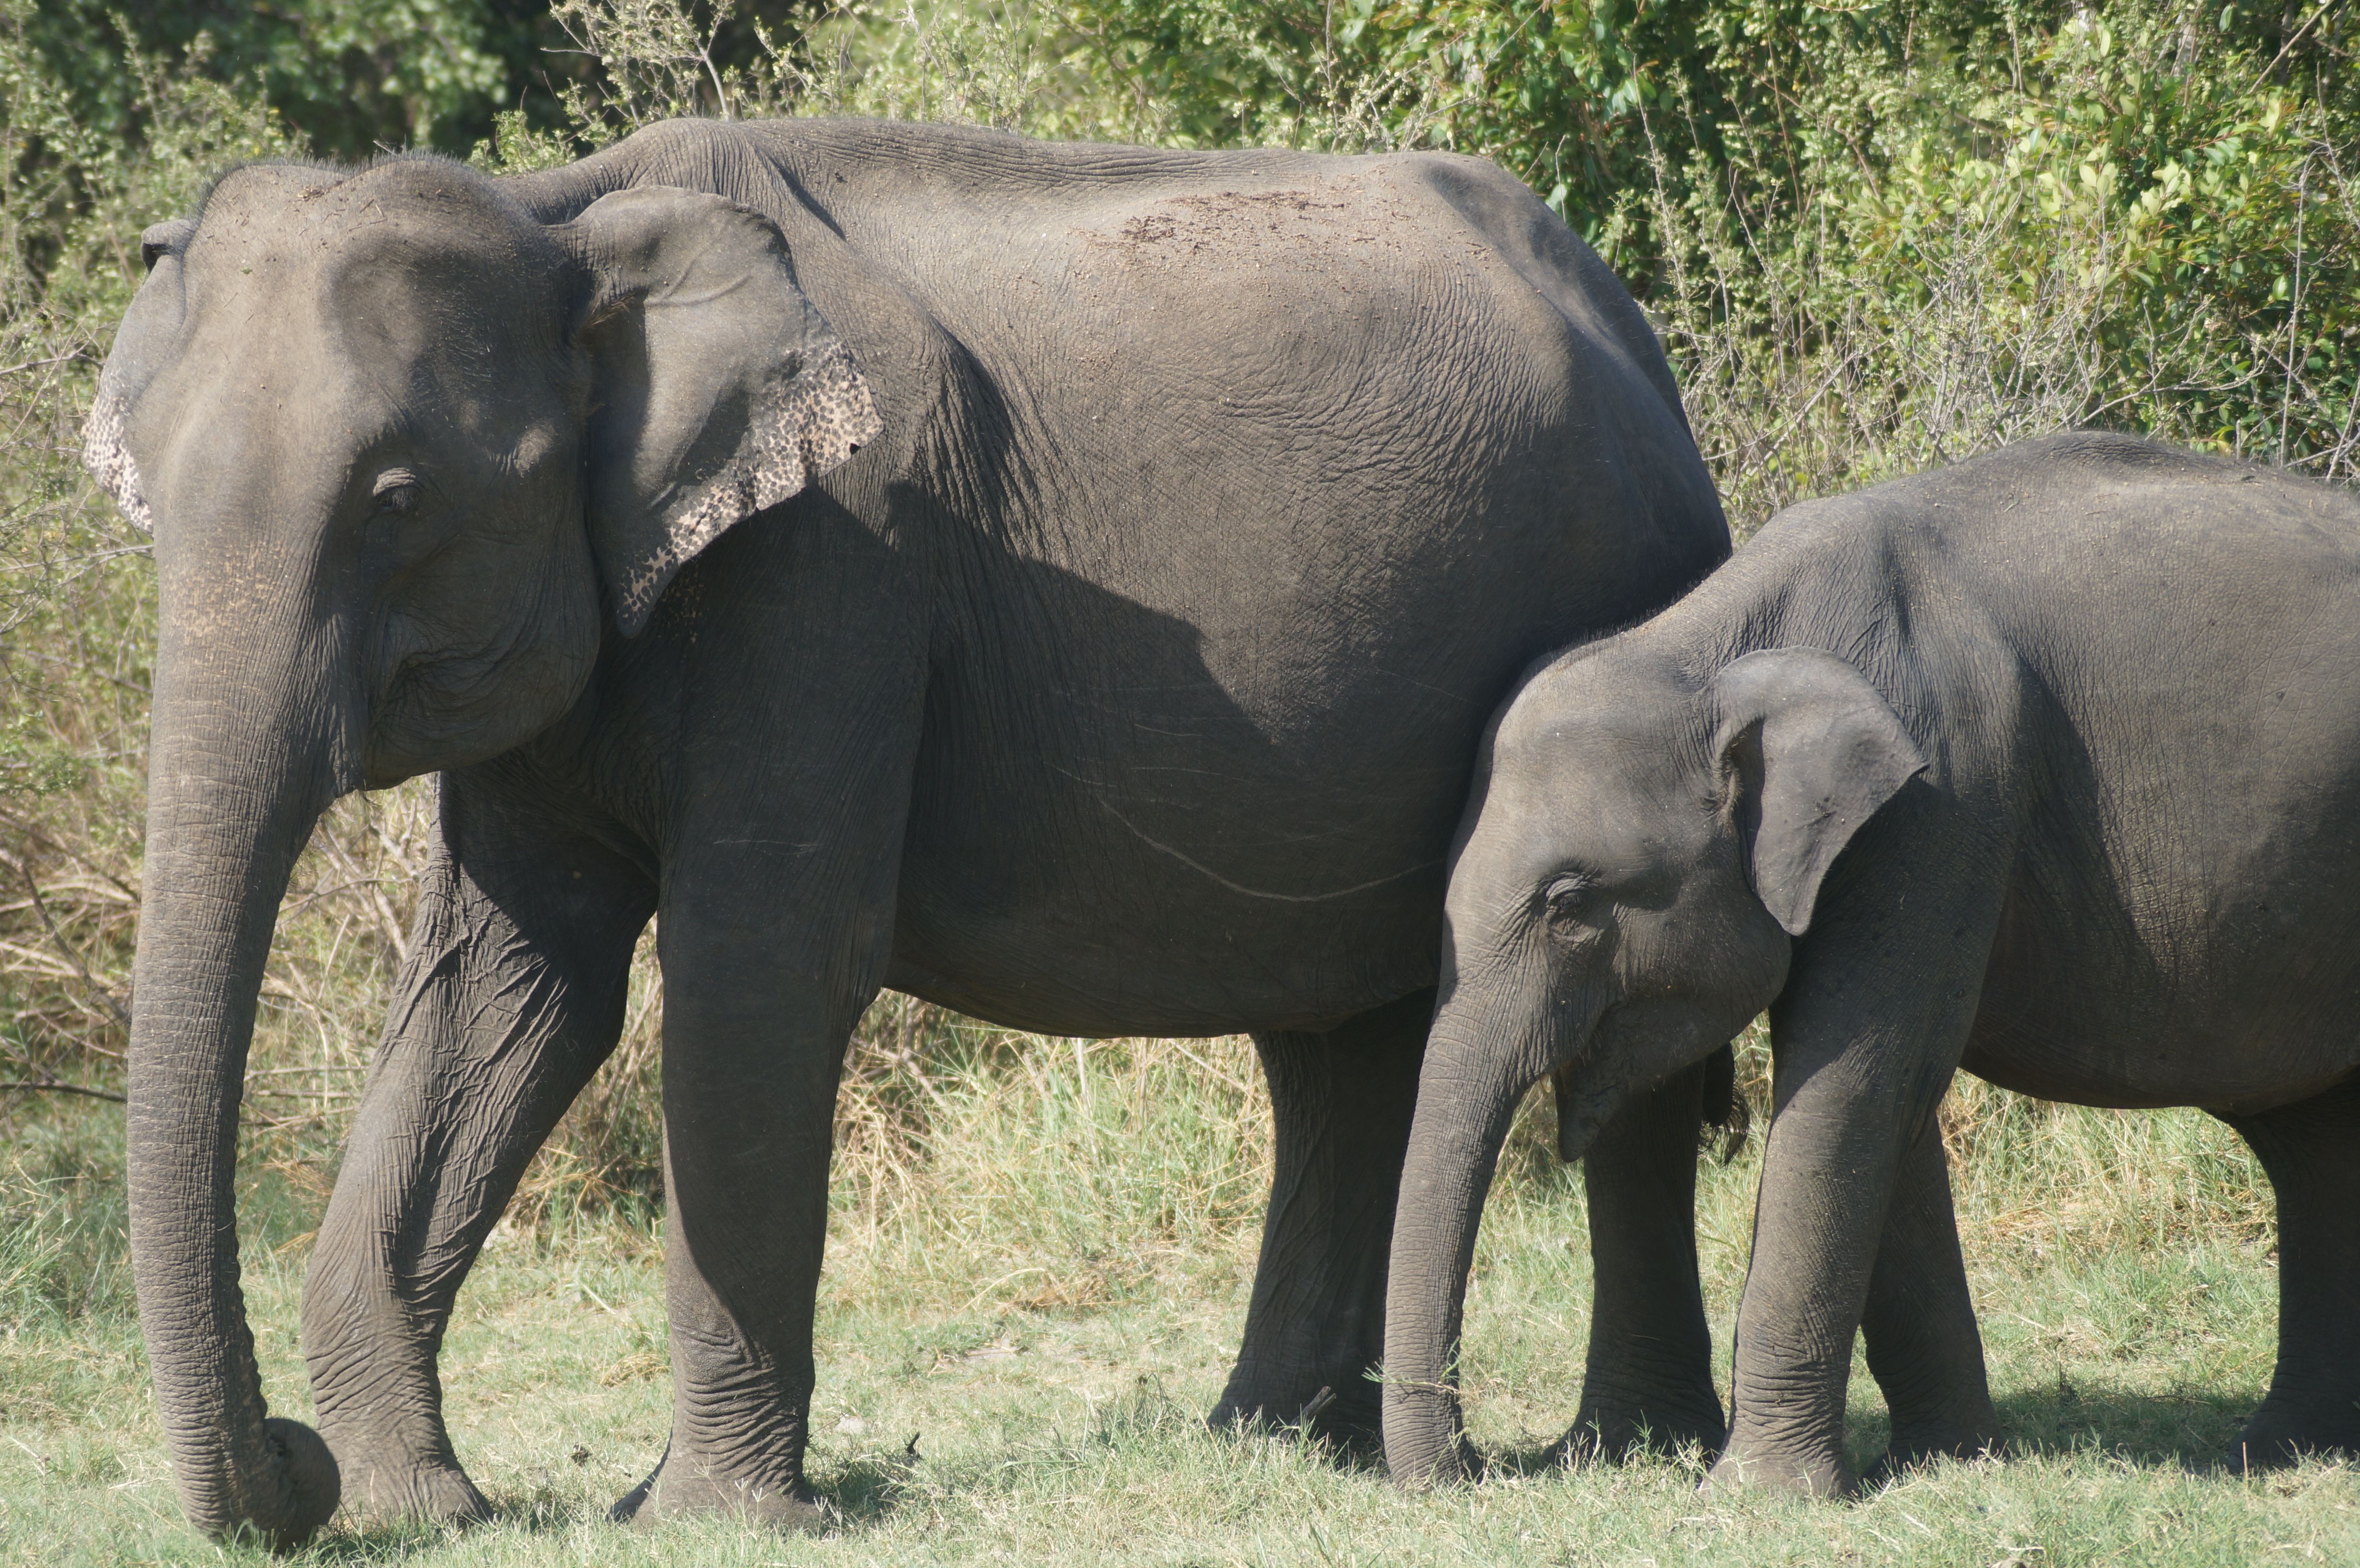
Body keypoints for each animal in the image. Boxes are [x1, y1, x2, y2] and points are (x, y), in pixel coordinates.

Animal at [81, 118, 1734, 1545]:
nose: (290, 1464)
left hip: (1631, 585)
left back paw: (1622, 1447)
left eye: (397, 497)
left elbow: (757, 977)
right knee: (1339, 1046)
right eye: (143, 500)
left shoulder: (837, 569)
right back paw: (1271, 1440)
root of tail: (1634, 338)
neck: (563, 216)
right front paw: (423, 1507)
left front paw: (700, 1520)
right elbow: (504, 992)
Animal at [1384, 431, 2360, 1498]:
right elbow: (1888, 1102)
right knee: (2313, 1139)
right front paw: (1950, 1460)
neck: (1712, 648)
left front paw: (1756, 1497)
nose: (1476, 1467)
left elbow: (1853, 1083)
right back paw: (2282, 1451)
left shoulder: (1945, 804)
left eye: (1566, 902)